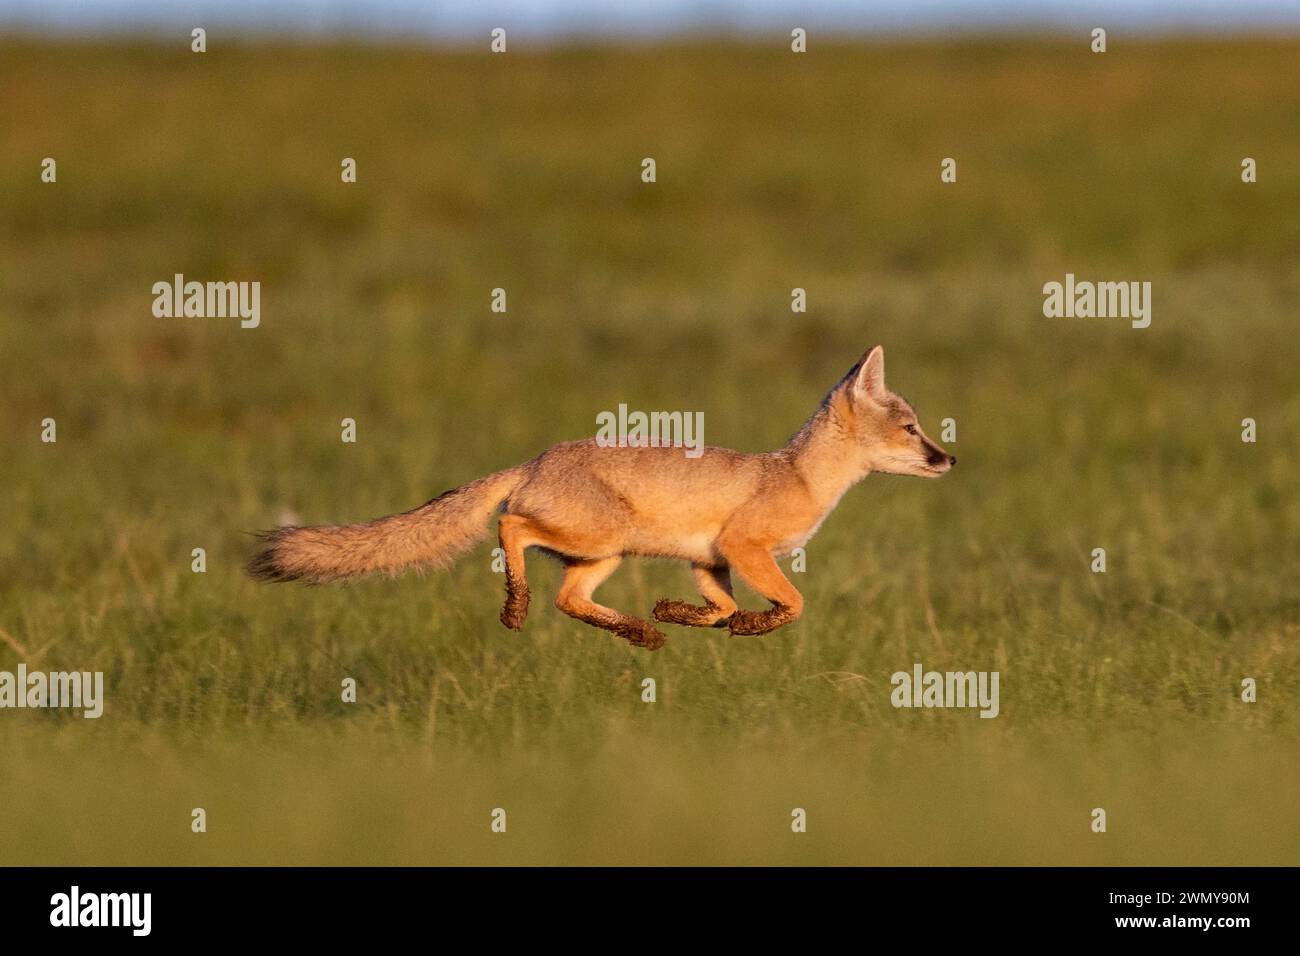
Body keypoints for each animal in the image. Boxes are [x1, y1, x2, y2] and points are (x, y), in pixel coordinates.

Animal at [248, 345, 954, 650]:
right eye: (912, 429)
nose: (949, 458)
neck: (801, 476)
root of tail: (536, 458)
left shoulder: (711, 560)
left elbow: (722, 609)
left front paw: (683, 614)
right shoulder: (744, 549)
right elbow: (795, 605)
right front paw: (754, 624)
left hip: (603, 557)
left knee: (569, 599)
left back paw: (640, 629)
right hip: (600, 537)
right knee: (511, 527)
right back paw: (516, 604)